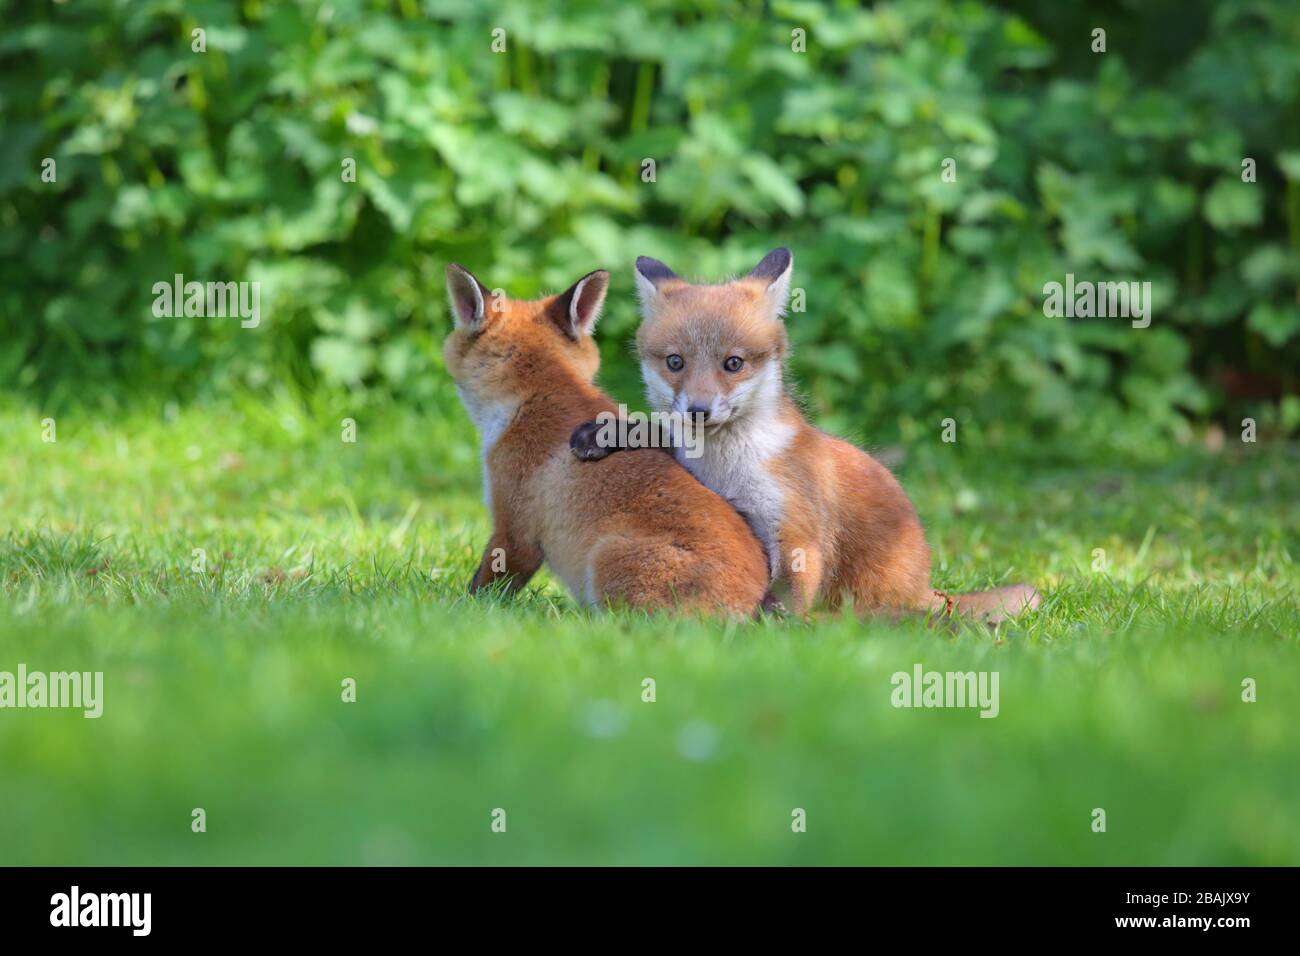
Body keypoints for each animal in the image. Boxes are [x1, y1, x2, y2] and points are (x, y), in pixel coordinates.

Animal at [569, 248, 1041, 624]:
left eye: (733, 363)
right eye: (675, 362)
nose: (698, 411)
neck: (724, 467)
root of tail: (925, 591)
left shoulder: (796, 530)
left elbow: (784, 600)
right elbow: (659, 432)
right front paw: (612, 433)